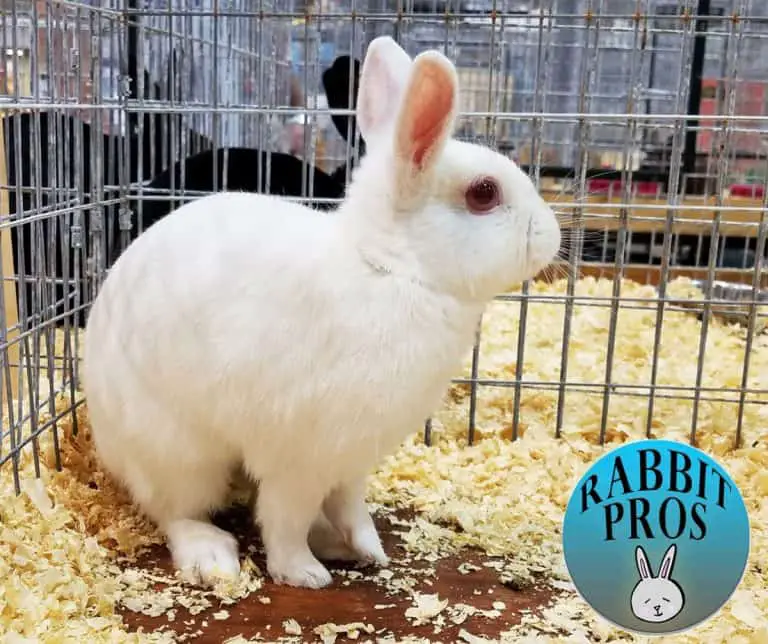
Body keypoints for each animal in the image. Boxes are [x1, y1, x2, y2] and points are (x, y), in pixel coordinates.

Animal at [81, 35, 561, 590]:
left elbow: (350, 505)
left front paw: (369, 549)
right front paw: (303, 574)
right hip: (179, 454)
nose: (553, 235)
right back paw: (213, 558)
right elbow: (284, 520)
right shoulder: (301, 459)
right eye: (484, 193)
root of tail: (105, 441)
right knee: (176, 511)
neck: (390, 269)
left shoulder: (351, 459)